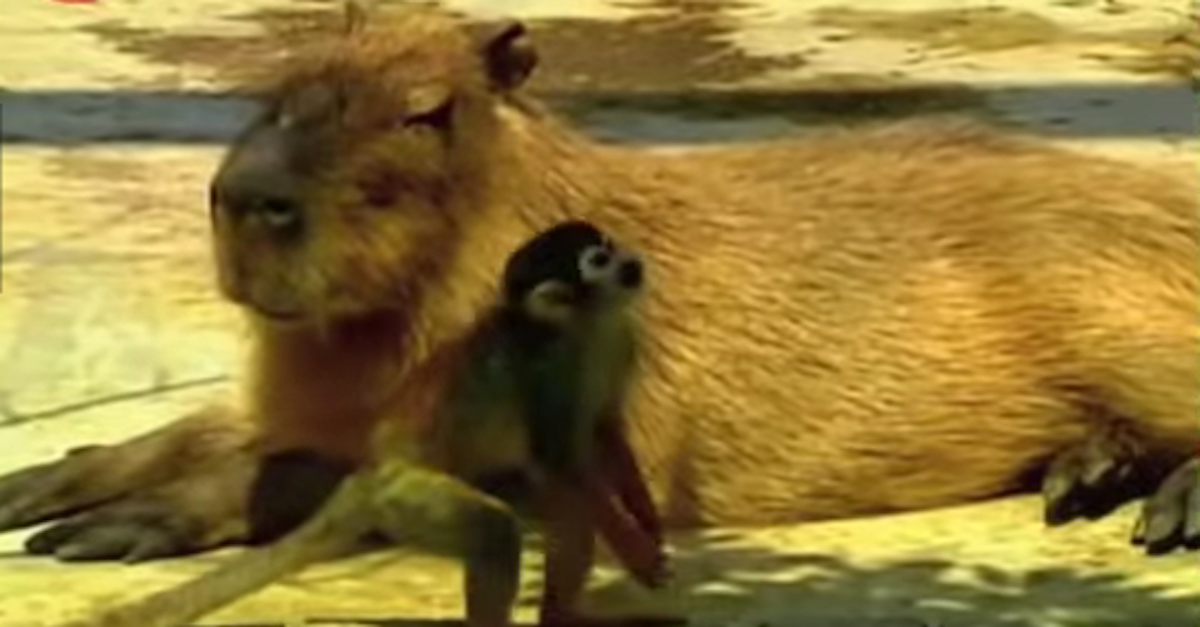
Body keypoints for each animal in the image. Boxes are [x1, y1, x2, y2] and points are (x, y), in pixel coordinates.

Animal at [51, 220, 672, 627]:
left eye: (608, 247)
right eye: (597, 261)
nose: (630, 263)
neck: (582, 324)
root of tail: (369, 475)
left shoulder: (619, 332)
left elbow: (604, 432)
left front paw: (644, 518)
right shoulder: (543, 363)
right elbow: (561, 457)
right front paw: (638, 550)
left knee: (562, 511)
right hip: (407, 497)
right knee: (496, 530)